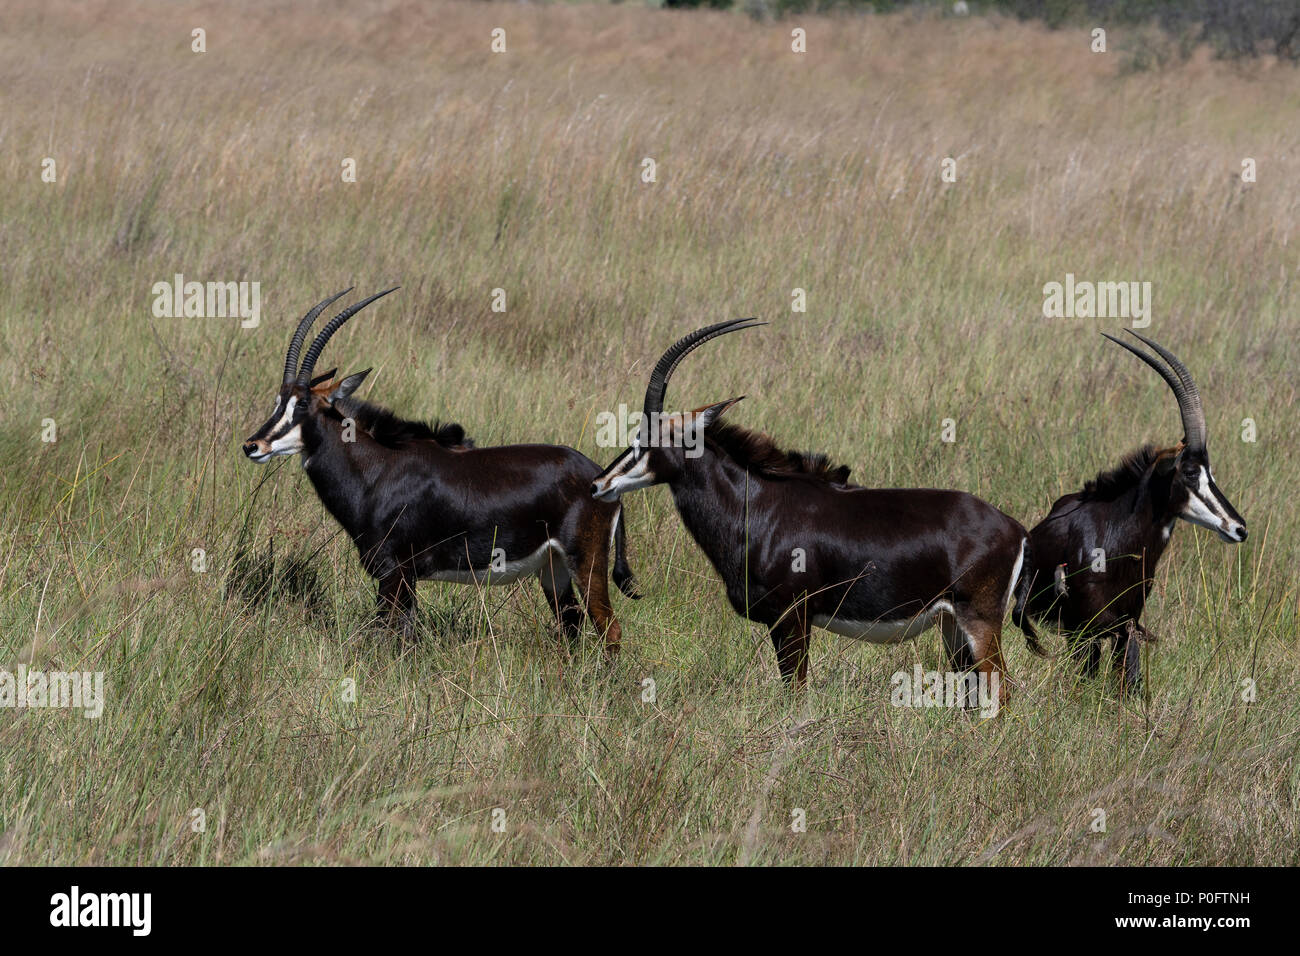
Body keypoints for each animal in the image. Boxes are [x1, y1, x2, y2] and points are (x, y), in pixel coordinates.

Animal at [242, 288, 640, 649]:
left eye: (302, 404)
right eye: (278, 401)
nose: (252, 446)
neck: (377, 471)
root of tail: (601, 476)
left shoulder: (395, 573)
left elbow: (388, 637)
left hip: (585, 561)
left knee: (609, 628)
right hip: (553, 569)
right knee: (572, 624)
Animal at [591, 320, 1046, 705]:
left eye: (647, 439)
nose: (599, 484)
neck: (758, 506)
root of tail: (1017, 530)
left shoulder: (793, 618)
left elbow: (795, 692)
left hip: (979, 620)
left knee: (1001, 690)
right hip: (953, 627)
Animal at [1018, 331, 1246, 693]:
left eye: (1210, 472)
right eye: (1190, 471)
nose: (1238, 528)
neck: (1117, 541)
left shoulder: (1129, 620)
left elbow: (1129, 678)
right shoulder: (1089, 626)